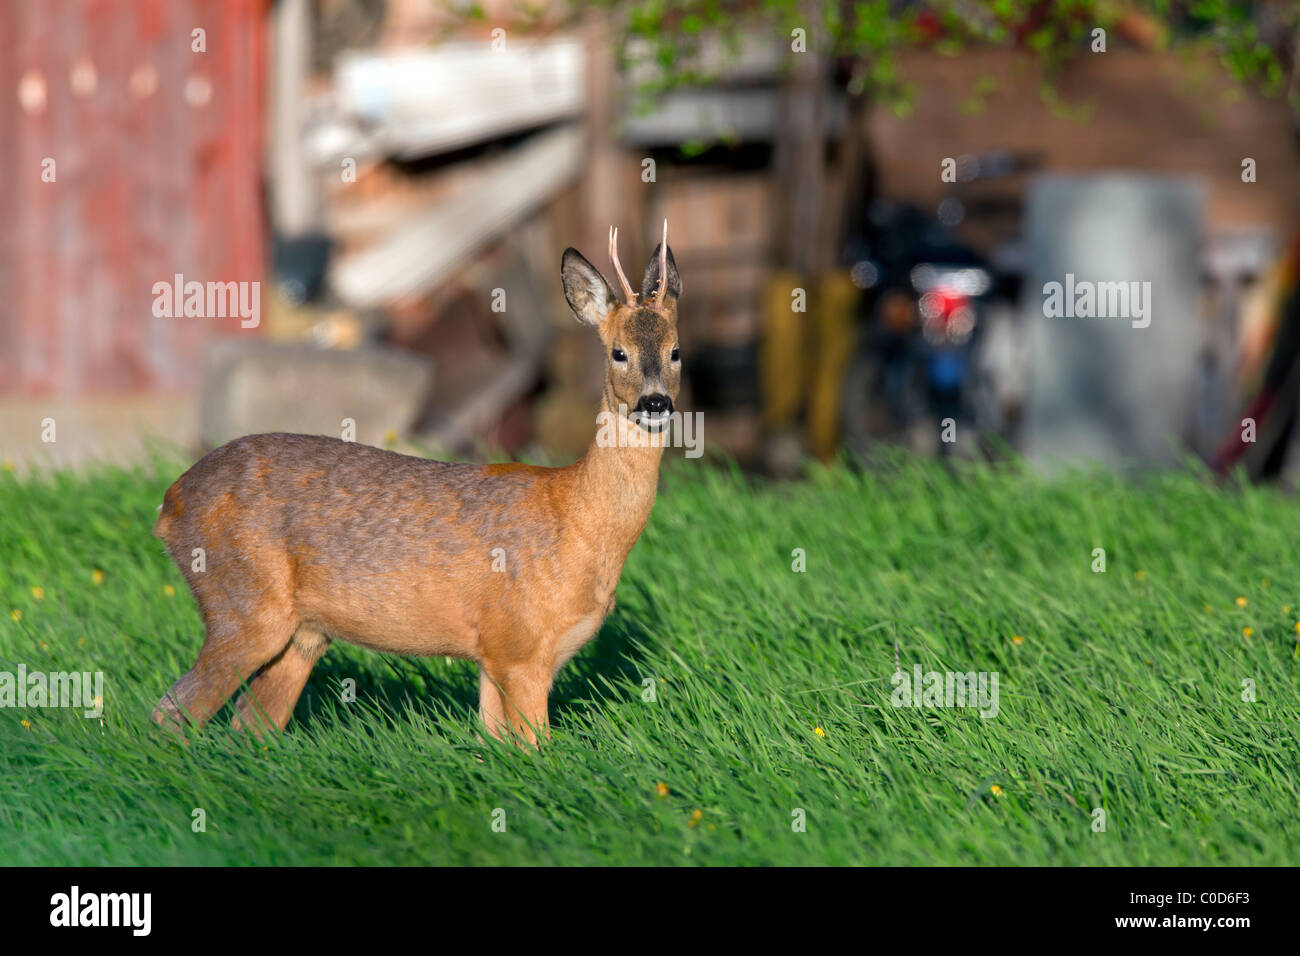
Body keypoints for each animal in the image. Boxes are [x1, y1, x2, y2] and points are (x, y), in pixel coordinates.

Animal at [151, 223, 682, 746]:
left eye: (676, 351)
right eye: (619, 353)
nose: (655, 403)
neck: (576, 520)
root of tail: (169, 504)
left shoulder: (495, 653)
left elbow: (496, 746)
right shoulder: (520, 644)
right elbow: (535, 747)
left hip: (302, 634)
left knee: (248, 723)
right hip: (245, 603)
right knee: (172, 712)